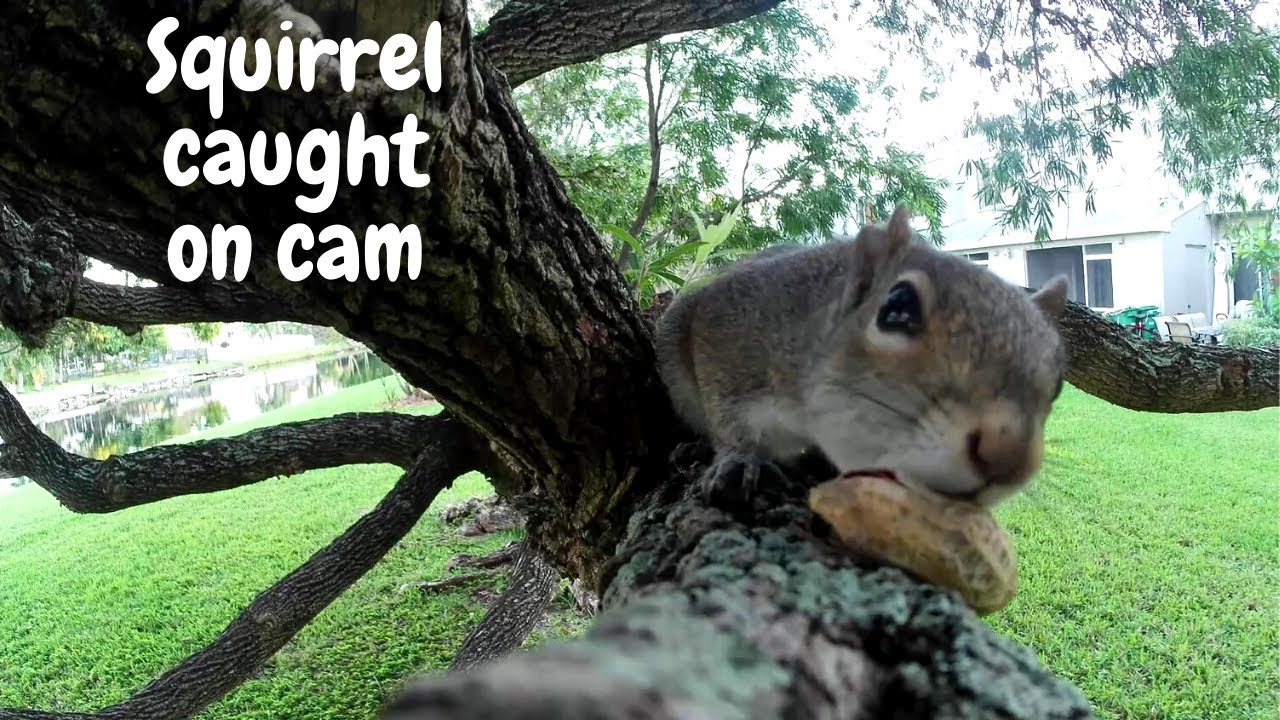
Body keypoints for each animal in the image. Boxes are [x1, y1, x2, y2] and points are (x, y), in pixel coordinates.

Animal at [654, 205, 1070, 509]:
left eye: (1059, 383)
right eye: (898, 308)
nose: (1009, 459)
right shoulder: (727, 327)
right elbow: (726, 413)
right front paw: (737, 459)